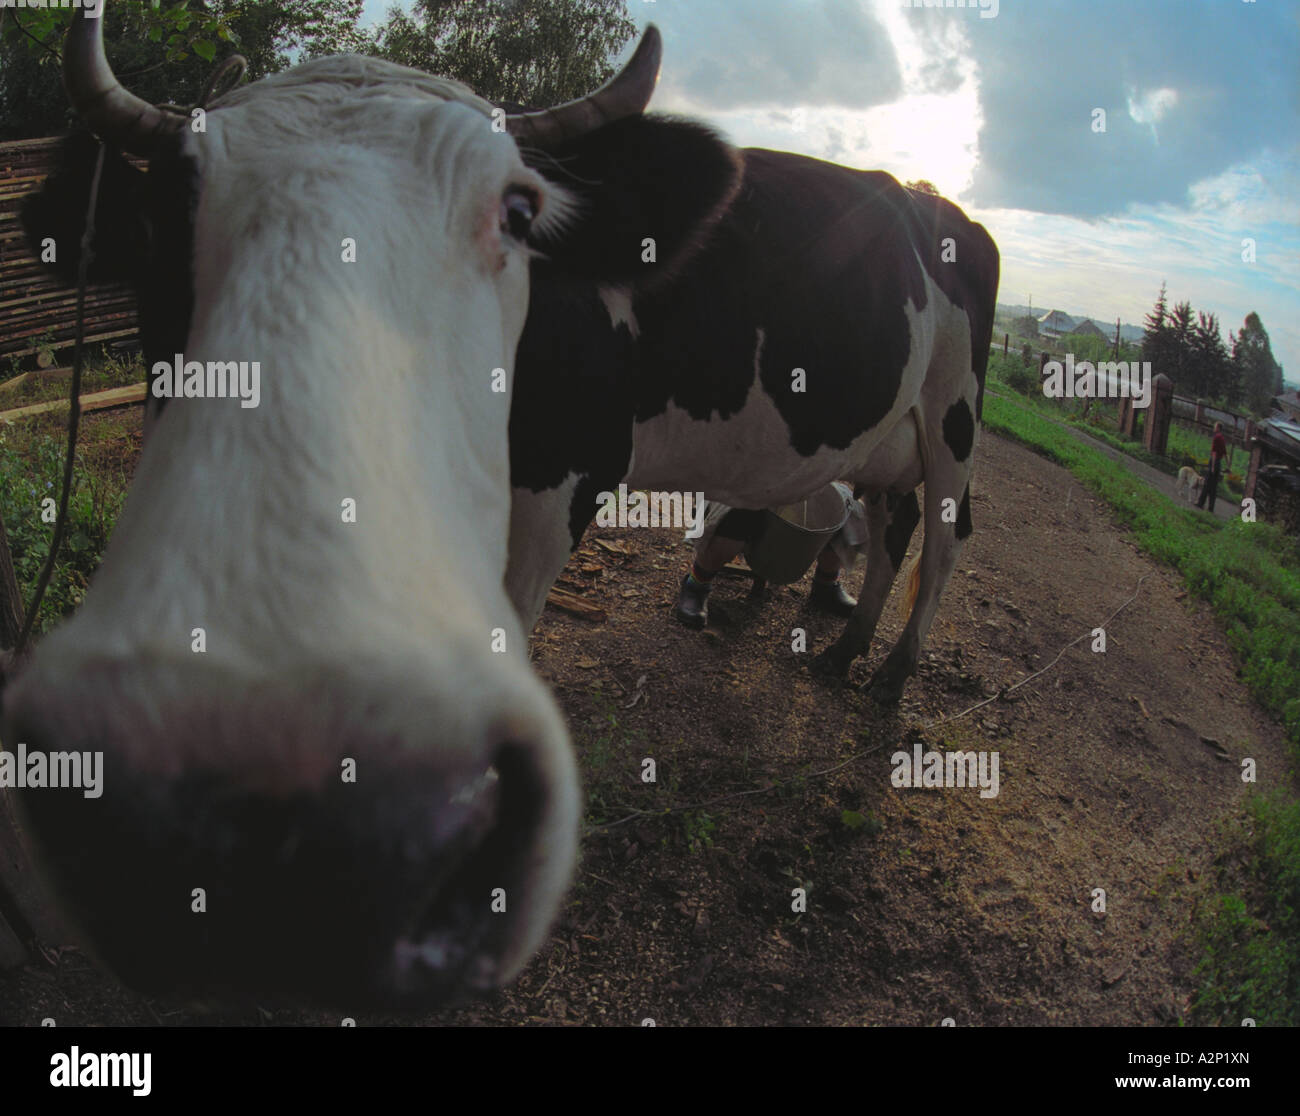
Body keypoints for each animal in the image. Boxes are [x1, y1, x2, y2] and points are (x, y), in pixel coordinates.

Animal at [507, 157, 1000, 701]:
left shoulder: (565, 469)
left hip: (955, 418)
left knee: (945, 538)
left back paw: (893, 673)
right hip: (888, 437)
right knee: (897, 523)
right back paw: (844, 651)